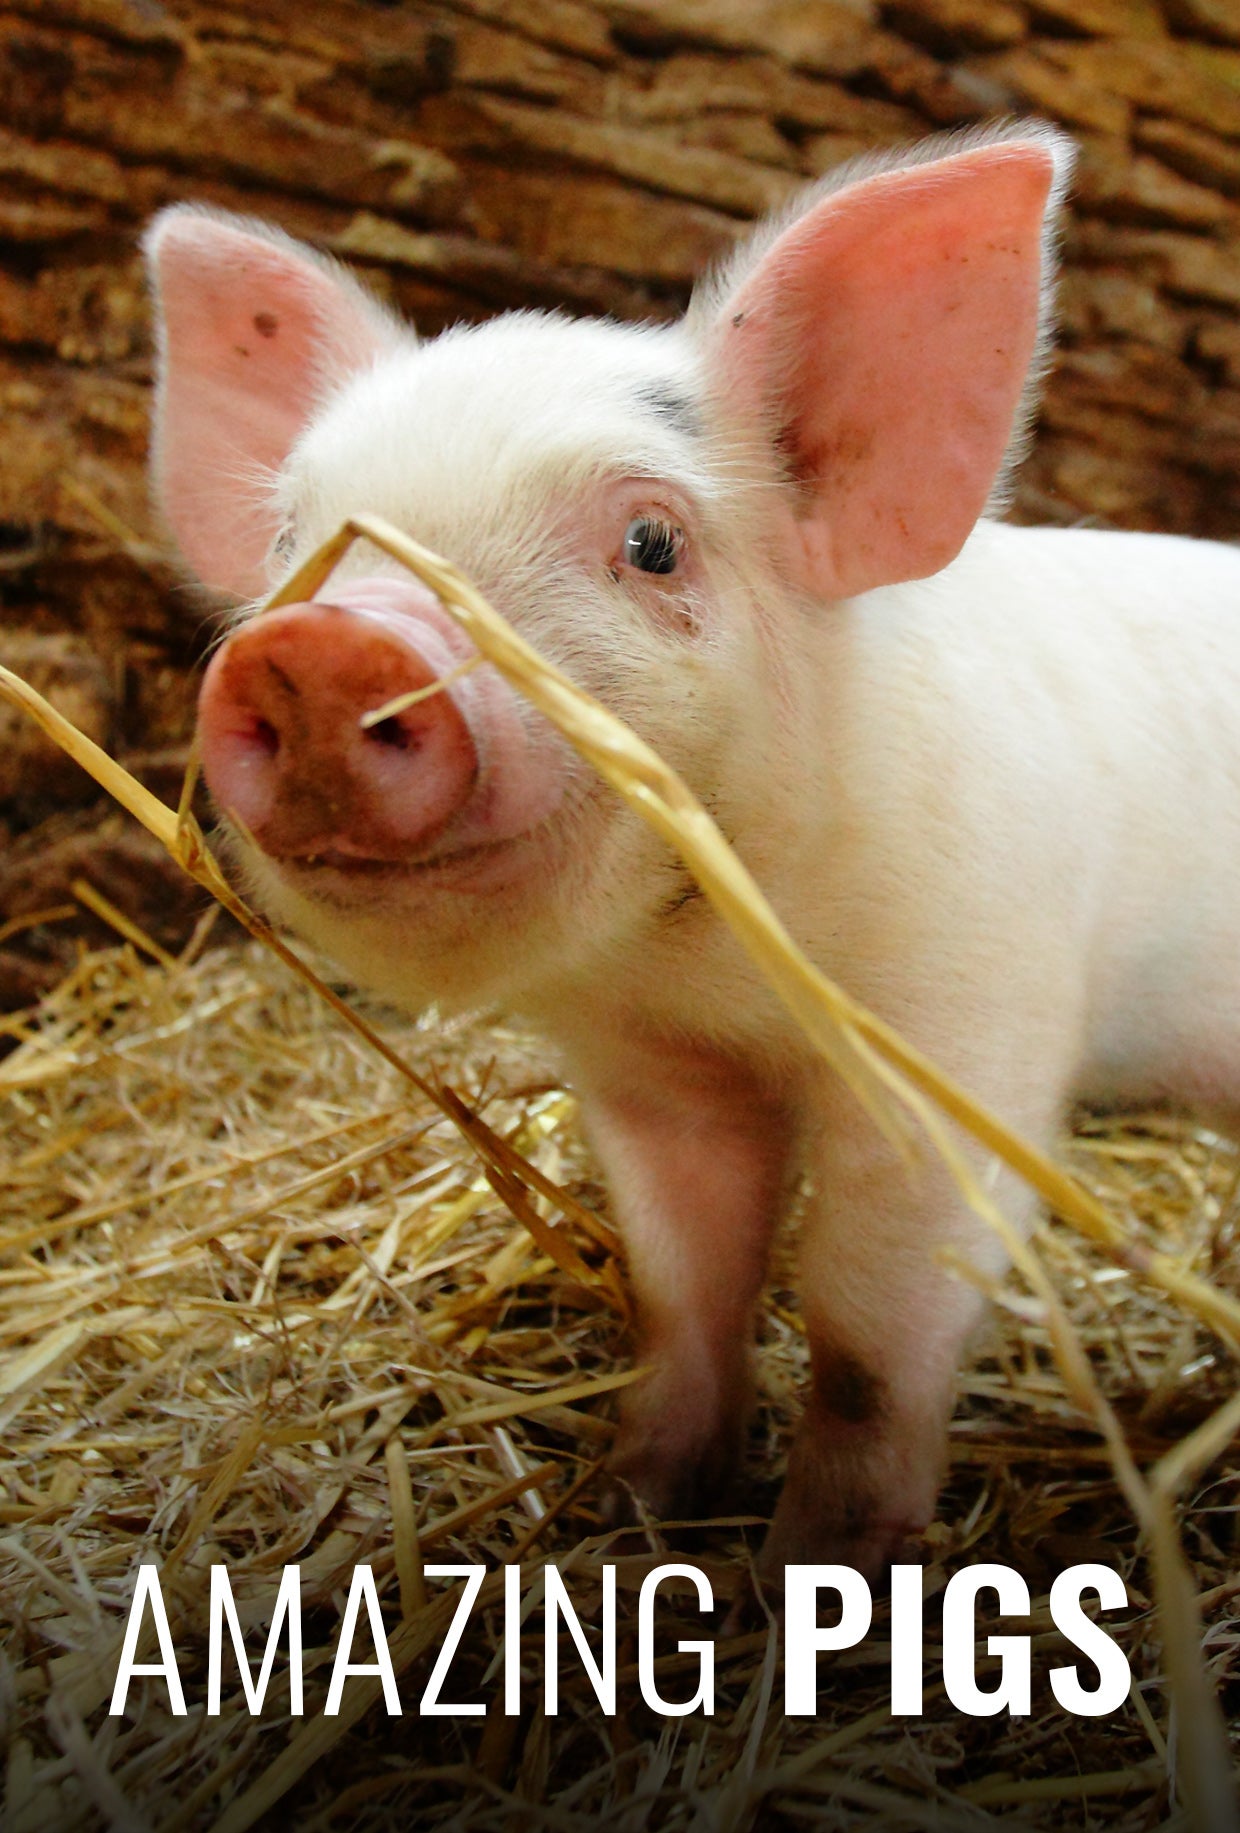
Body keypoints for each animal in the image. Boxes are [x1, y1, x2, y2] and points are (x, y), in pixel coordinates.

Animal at [143, 122, 1240, 1581]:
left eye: (653, 542)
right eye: (288, 541)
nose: (324, 648)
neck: (712, 965)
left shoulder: (964, 1033)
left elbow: (868, 1326)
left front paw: (809, 1572)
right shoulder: (646, 1070)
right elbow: (684, 1283)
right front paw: (626, 1509)